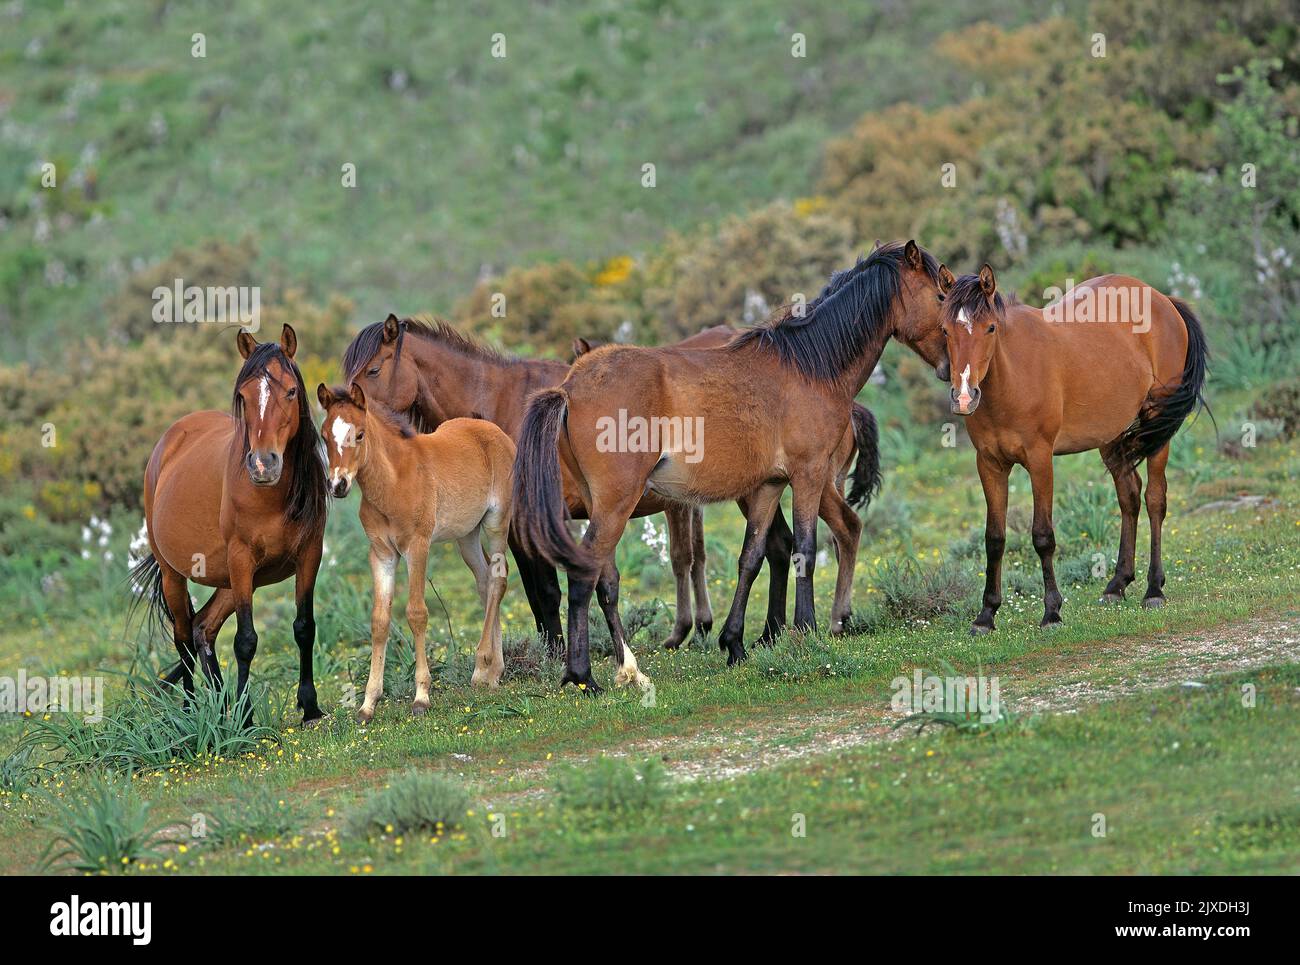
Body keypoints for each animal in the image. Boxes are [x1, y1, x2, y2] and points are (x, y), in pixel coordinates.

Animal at [130, 325, 329, 724]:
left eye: (291, 390)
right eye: (243, 395)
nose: (263, 464)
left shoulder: (309, 555)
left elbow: (304, 628)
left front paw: (310, 707)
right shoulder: (242, 560)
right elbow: (246, 641)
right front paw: (247, 719)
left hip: (228, 581)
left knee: (202, 629)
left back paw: (222, 709)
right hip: (178, 574)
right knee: (183, 637)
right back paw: (192, 714)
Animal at [317, 383, 515, 719]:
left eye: (360, 434)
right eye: (323, 435)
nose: (338, 485)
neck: (393, 483)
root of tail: (497, 432)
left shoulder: (417, 546)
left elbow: (416, 613)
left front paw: (421, 696)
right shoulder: (381, 553)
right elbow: (379, 620)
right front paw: (368, 703)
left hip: (496, 523)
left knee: (498, 580)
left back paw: (481, 667)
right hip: (466, 535)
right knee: (485, 581)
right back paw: (494, 672)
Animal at [339, 317, 882, 659]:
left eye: (372, 369)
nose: (348, 418)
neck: (502, 405)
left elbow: (546, 594)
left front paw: (559, 657)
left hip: (791, 483)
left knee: (829, 534)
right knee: (780, 545)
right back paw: (764, 634)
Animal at [513, 240, 952, 690]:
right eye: (941, 295)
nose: (951, 368)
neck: (810, 367)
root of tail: (569, 387)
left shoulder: (768, 486)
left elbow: (753, 557)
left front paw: (735, 643)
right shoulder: (808, 476)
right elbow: (806, 550)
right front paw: (804, 631)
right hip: (616, 504)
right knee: (585, 576)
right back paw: (584, 677)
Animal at [938, 266, 1209, 632]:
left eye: (990, 327)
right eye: (945, 329)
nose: (965, 397)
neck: (1011, 377)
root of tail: (1163, 299)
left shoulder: (1040, 461)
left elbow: (1042, 536)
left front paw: (1052, 611)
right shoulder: (990, 464)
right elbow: (994, 538)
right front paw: (986, 615)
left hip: (1158, 425)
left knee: (1155, 500)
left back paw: (1154, 589)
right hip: (1111, 434)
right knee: (1129, 497)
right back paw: (1117, 584)